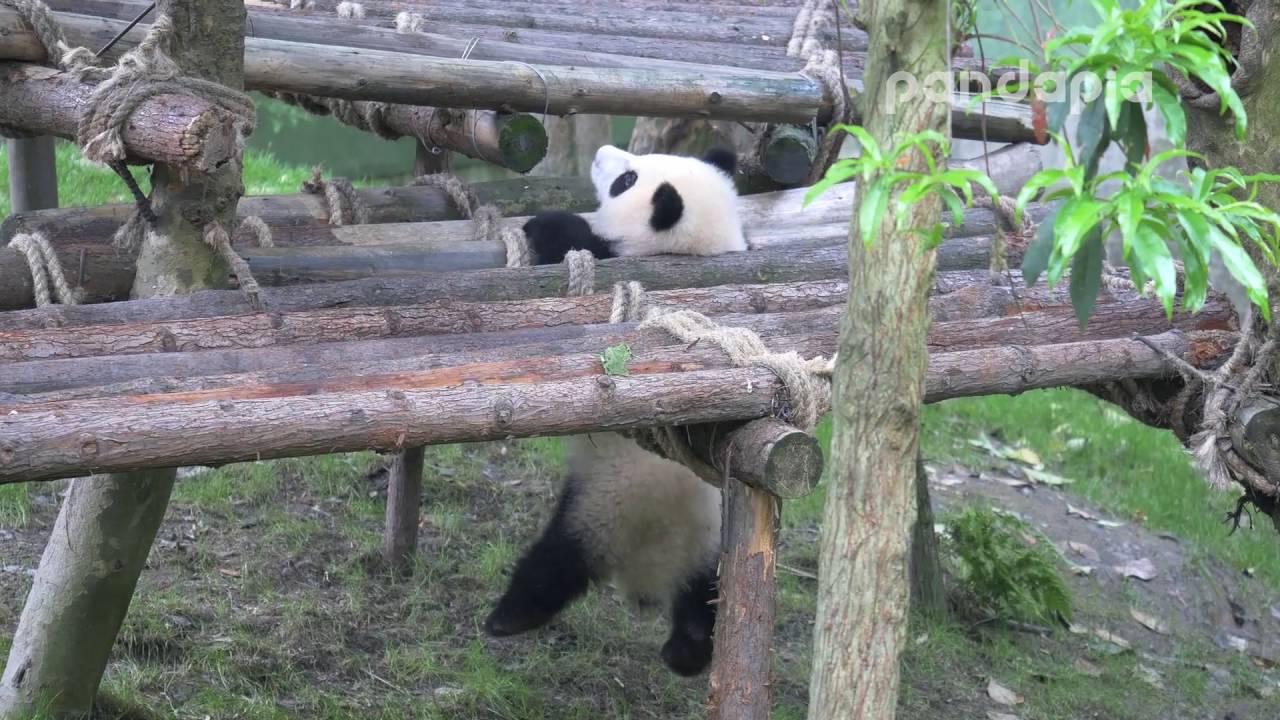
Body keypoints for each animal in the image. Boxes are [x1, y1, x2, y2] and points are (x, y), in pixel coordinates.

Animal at [481, 144, 746, 677]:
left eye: (628, 179)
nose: (603, 153)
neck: (693, 254)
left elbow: (583, 251)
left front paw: (547, 227)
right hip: (712, 536)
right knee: (706, 601)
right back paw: (687, 651)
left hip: (600, 507)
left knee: (553, 565)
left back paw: (507, 618)